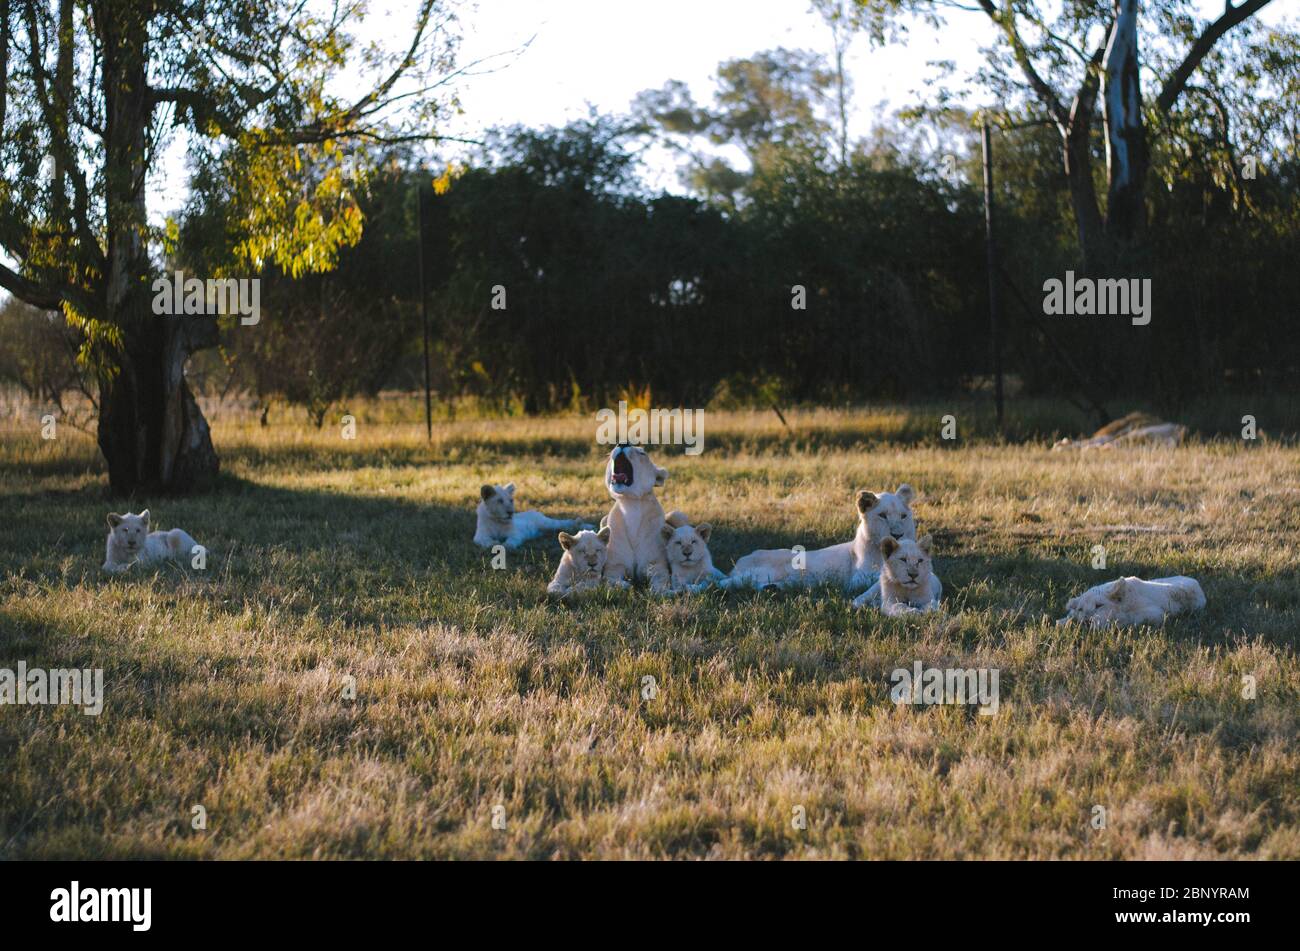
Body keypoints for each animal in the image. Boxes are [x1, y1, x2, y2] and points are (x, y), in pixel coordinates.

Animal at [724, 484, 918, 593]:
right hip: (764, 571)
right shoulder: (857, 579)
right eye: (883, 516)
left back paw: (774, 588)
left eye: (903, 516)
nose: (897, 535)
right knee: (726, 582)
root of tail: (738, 563)